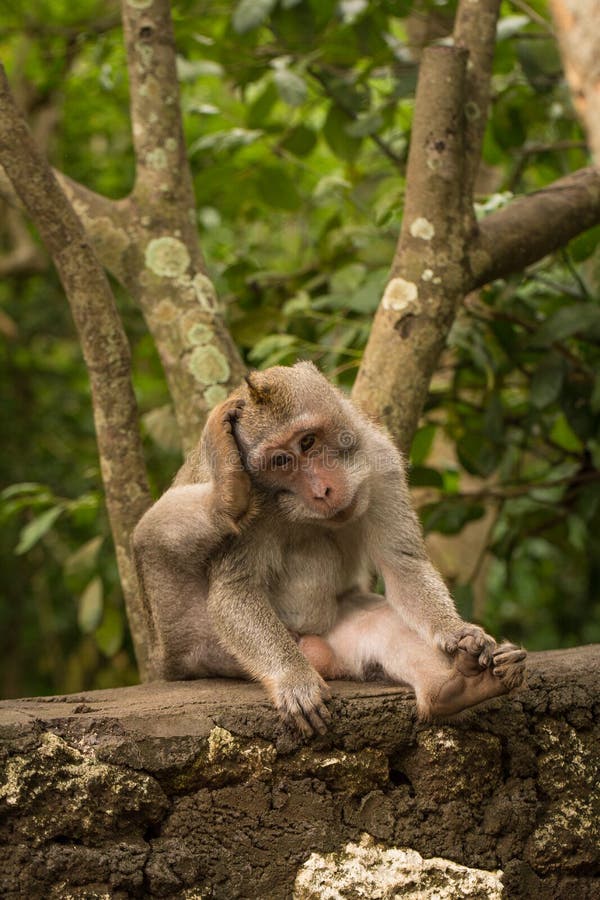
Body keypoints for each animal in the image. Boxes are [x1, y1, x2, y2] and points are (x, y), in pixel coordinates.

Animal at [133, 362, 526, 736]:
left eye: (308, 441)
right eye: (281, 461)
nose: (322, 490)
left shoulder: (381, 460)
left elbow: (403, 564)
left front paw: (456, 632)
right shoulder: (257, 496)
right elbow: (235, 591)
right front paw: (293, 677)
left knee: (377, 621)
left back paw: (458, 687)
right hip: (185, 638)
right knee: (148, 540)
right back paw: (226, 494)